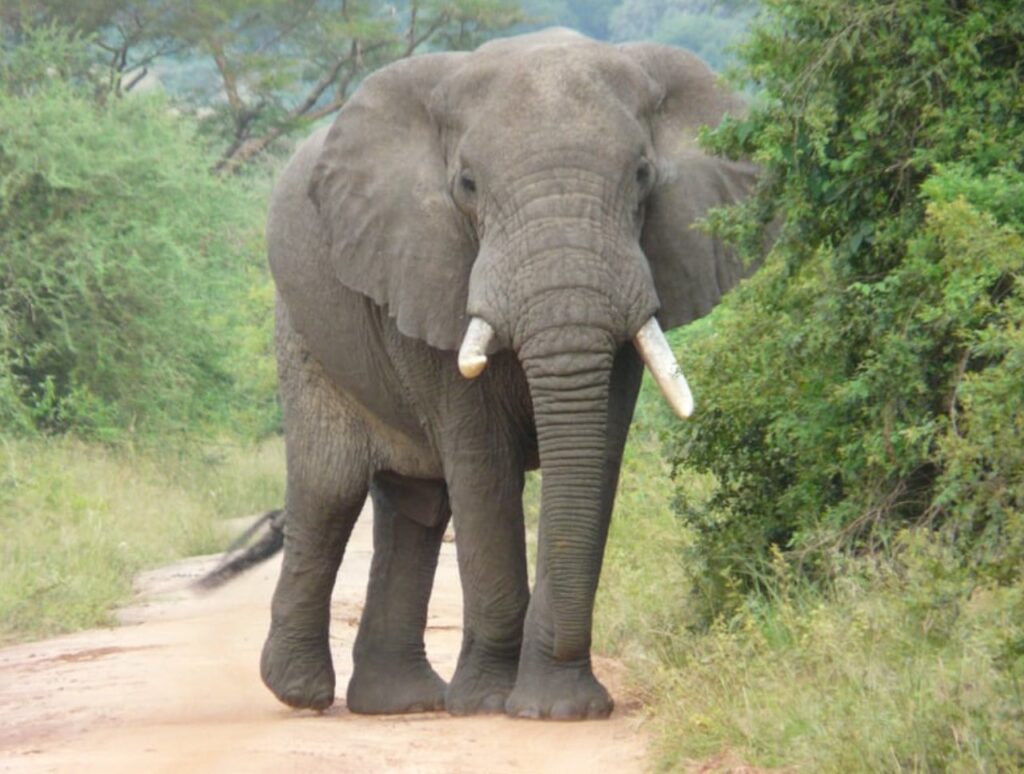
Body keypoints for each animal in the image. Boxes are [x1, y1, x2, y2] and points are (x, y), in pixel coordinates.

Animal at [257, 27, 757, 721]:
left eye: (642, 176)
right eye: (467, 184)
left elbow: (596, 456)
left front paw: (558, 708)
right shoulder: (427, 265)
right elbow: (483, 462)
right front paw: (496, 702)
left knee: (416, 504)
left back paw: (401, 702)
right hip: (302, 328)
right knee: (330, 486)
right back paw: (302, 693)